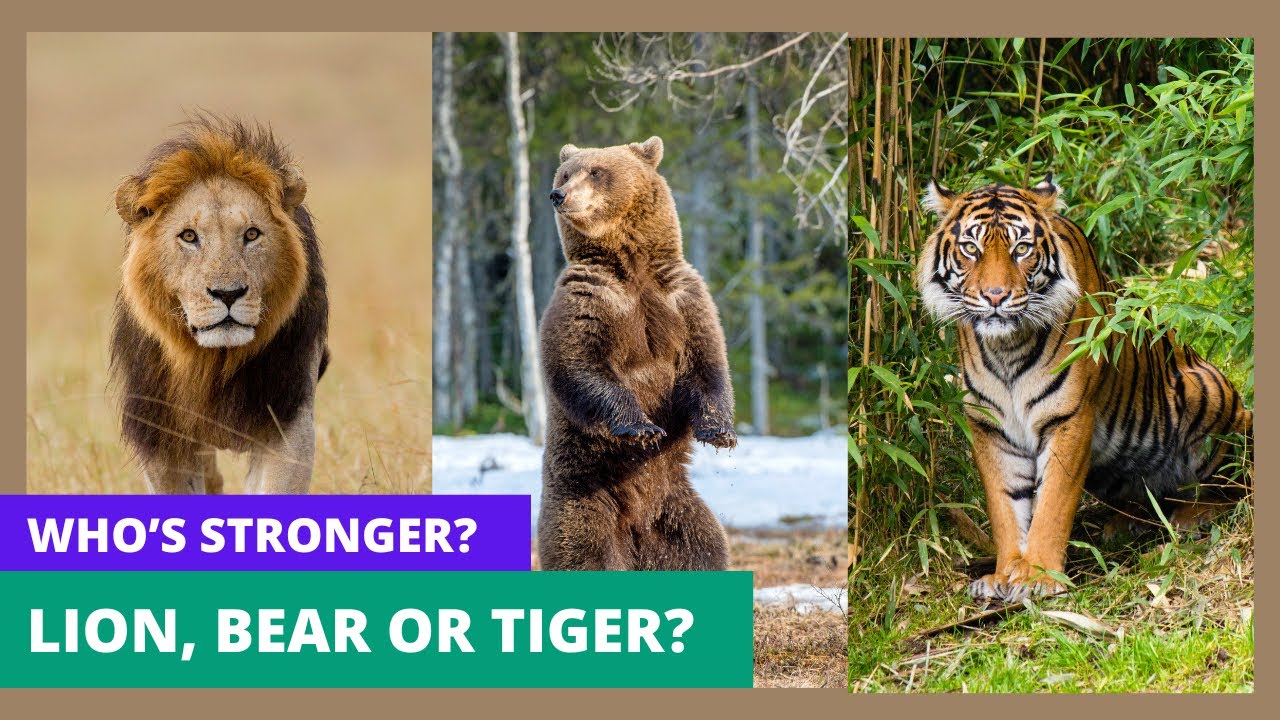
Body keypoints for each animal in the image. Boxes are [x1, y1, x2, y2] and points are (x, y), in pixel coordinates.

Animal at [110, 114, 329, 494]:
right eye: (188, 236)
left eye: (252, 234)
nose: (228, 294)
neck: (211, 363)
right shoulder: (160, 435)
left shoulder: (287, 417)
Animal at [536, 136, 738, 571]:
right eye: (565, 174)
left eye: (596, 171)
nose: (559, 194)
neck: (631, 266)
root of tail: (637, 532)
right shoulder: (588, 300)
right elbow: (581, 366)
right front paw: (643, 427)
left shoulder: (682, 299)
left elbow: (707, 365)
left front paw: (720, 432)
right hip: (583, 496)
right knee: (583, 551)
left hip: (677, 511)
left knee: (705, 548)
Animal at [915, 176, 1252, 602]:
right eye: (970, 249)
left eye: (1021, 249)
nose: (995, 297)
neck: (1006, 348)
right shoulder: (989, 427)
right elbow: (1005, 506)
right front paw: (1004, 573)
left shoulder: (1068, 418)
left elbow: (1052, 503)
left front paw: (1038, 576)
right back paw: (1127, 524)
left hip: (1206, 402)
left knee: (1235, 483)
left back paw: (1193, 515)